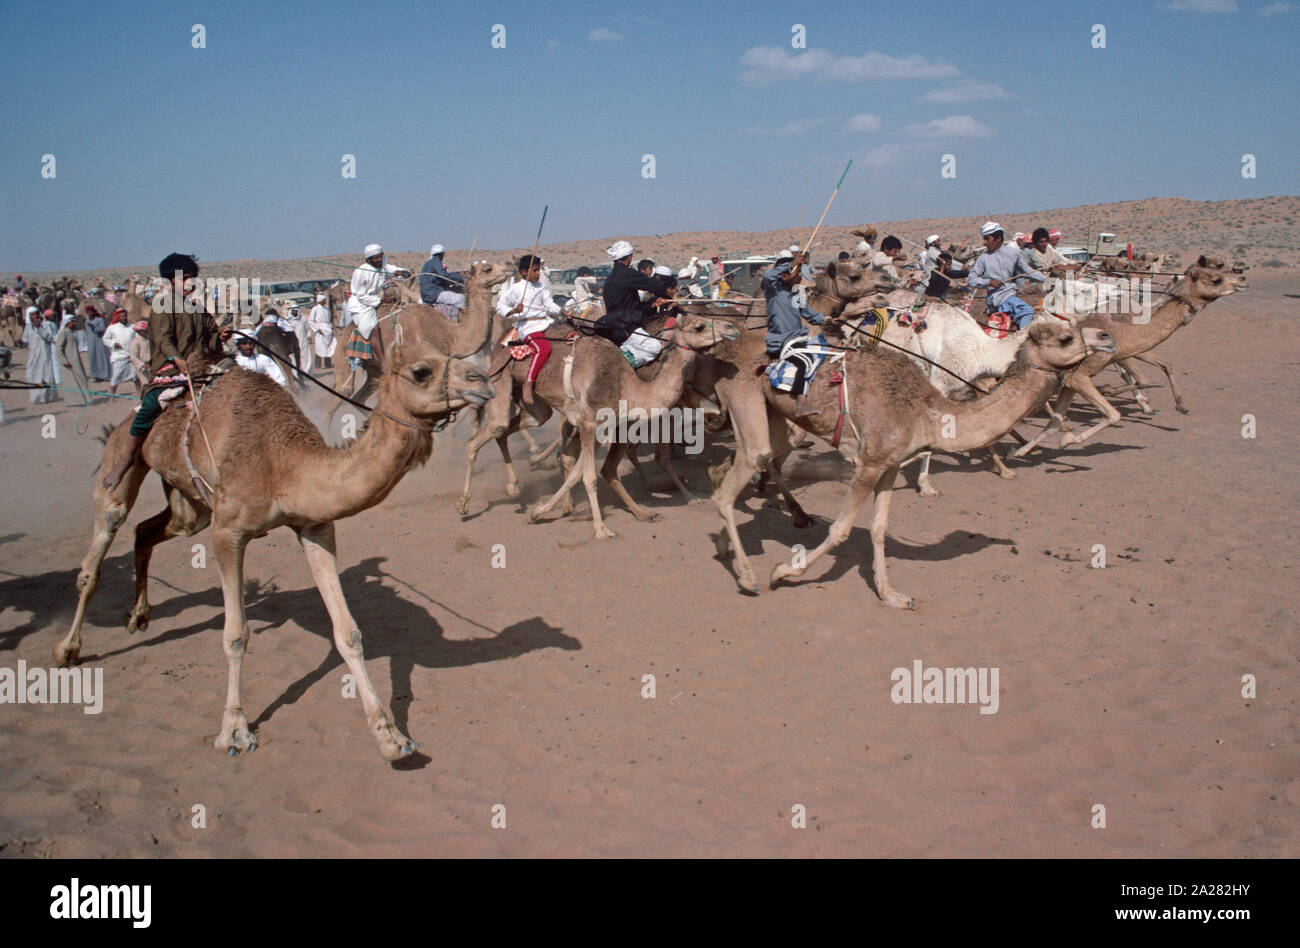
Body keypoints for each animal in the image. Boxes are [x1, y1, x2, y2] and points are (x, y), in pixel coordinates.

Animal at [54, 340, 494, 760]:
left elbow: (348, 633)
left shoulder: (315, 526)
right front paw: (234, 732)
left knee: (148, 530)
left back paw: (138, 616)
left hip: (192, 506)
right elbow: (236, 635)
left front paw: (392, 739)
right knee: (99, 548)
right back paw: (68, 650)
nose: (484, 380)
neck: (282, 461)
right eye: (421, 371)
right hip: (128, 464)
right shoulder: (227, 532)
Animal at [712, 321, 1116, 602]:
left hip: (776, 417)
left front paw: (891, 595)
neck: (927, 413)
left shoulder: (889, 465)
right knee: (736, 480)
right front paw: (781, 572)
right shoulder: (869, 462)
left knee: (750, 464)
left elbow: (879, 529)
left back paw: (729, 546)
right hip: (747, 399)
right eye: (1065, 338)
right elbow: (841, 530)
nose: (1106, 336)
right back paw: (748, 577)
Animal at [1014, 256, 1248, 456]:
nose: (1243, 277)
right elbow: (1116, 409)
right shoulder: (1085, 372)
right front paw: (1069, 438)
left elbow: (1160, 368)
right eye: (1216, 276)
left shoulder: (1081, 374)